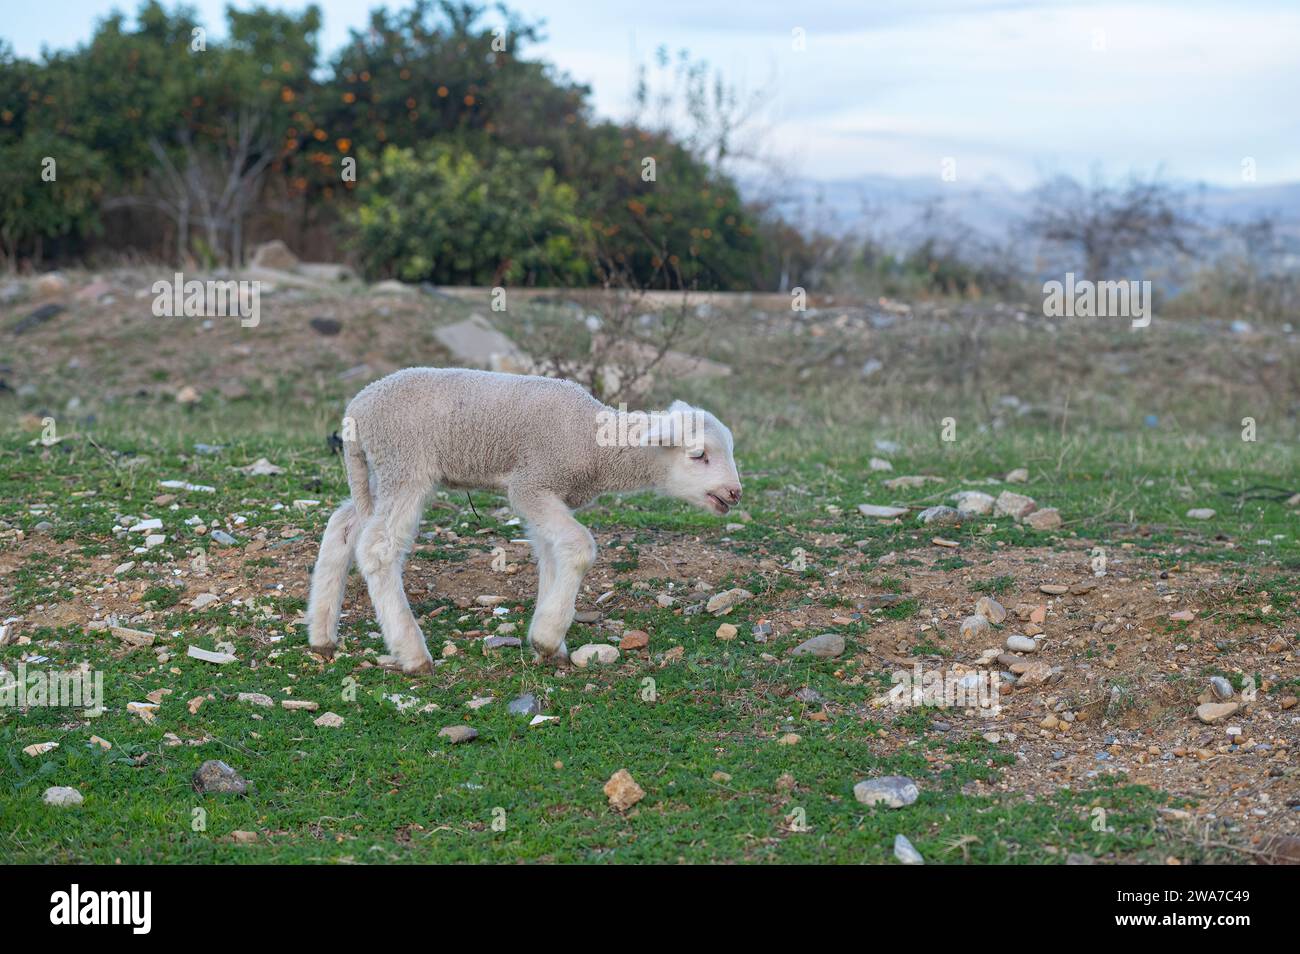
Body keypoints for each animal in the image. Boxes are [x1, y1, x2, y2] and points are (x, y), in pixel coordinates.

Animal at [306, 367, 742, 672]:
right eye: (699, 455)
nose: (735, 492)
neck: (595, 444)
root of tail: (357, 409)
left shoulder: (549, 493)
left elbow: (552, 554)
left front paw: (548, 640)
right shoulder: (531, 484)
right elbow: (578, 546)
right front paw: (549, 636)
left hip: (378, 476)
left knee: (343, 526)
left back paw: (322, 635)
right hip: (404, 466)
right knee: (377, 548)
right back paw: (412, 653)